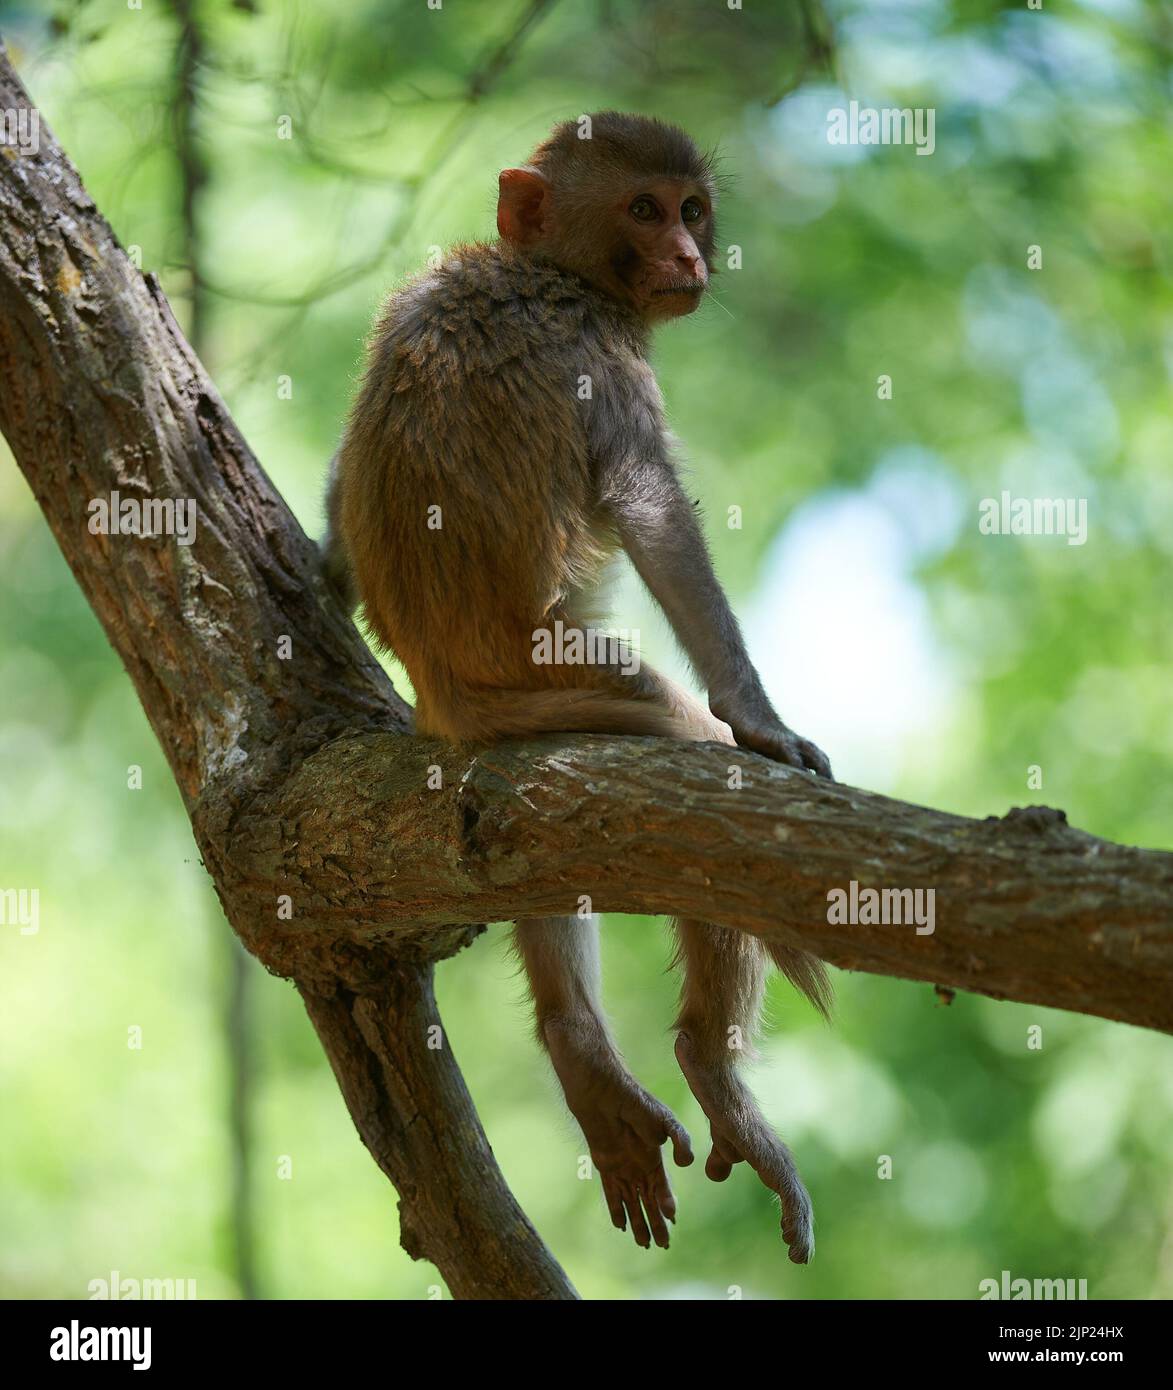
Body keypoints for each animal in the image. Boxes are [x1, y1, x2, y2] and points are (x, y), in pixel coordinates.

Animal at [325, 111, 833, 1262]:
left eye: (691, 208)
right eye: (644, 209)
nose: (690, 253)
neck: (544, 266)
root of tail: (448, 683)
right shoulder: (604, 358)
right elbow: (648, 504)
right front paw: (759, 716)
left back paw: (577, 1043)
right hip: (574, 670)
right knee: (690, 765)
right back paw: (706, 1062)